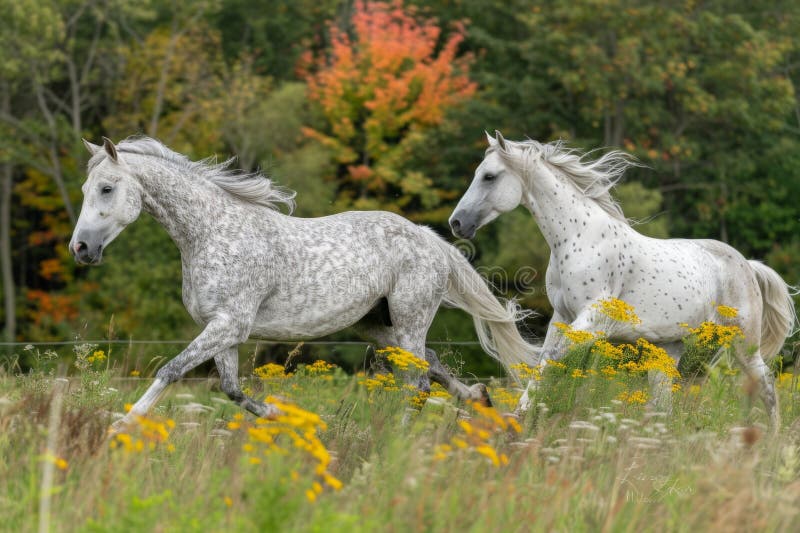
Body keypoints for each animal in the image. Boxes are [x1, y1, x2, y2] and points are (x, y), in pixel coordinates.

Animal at [70, 136, 539, 429]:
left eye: (107, 188)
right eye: (85, 188)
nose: (80, 248)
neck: (210, 232)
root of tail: (428, 236)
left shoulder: (229, 324)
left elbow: (170, 370)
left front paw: (122, 426)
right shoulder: (224, 330)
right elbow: (232, 390)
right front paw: (283, 419)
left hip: (410, 319)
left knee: (419, 384)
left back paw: (396, 440)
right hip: (374, 325)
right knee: (434, 365)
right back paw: (479, 398)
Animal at [449, 131, 796, 428]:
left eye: (489, 176)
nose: (456, 223)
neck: (577, 237)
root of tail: (748, 265)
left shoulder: (592, 319)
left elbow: (554, 361)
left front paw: (520, 417)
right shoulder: (562, 317)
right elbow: (551, 362)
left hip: (743, 341)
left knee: (764, 384)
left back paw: (769, 442)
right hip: (667, 349)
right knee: (665, 403)